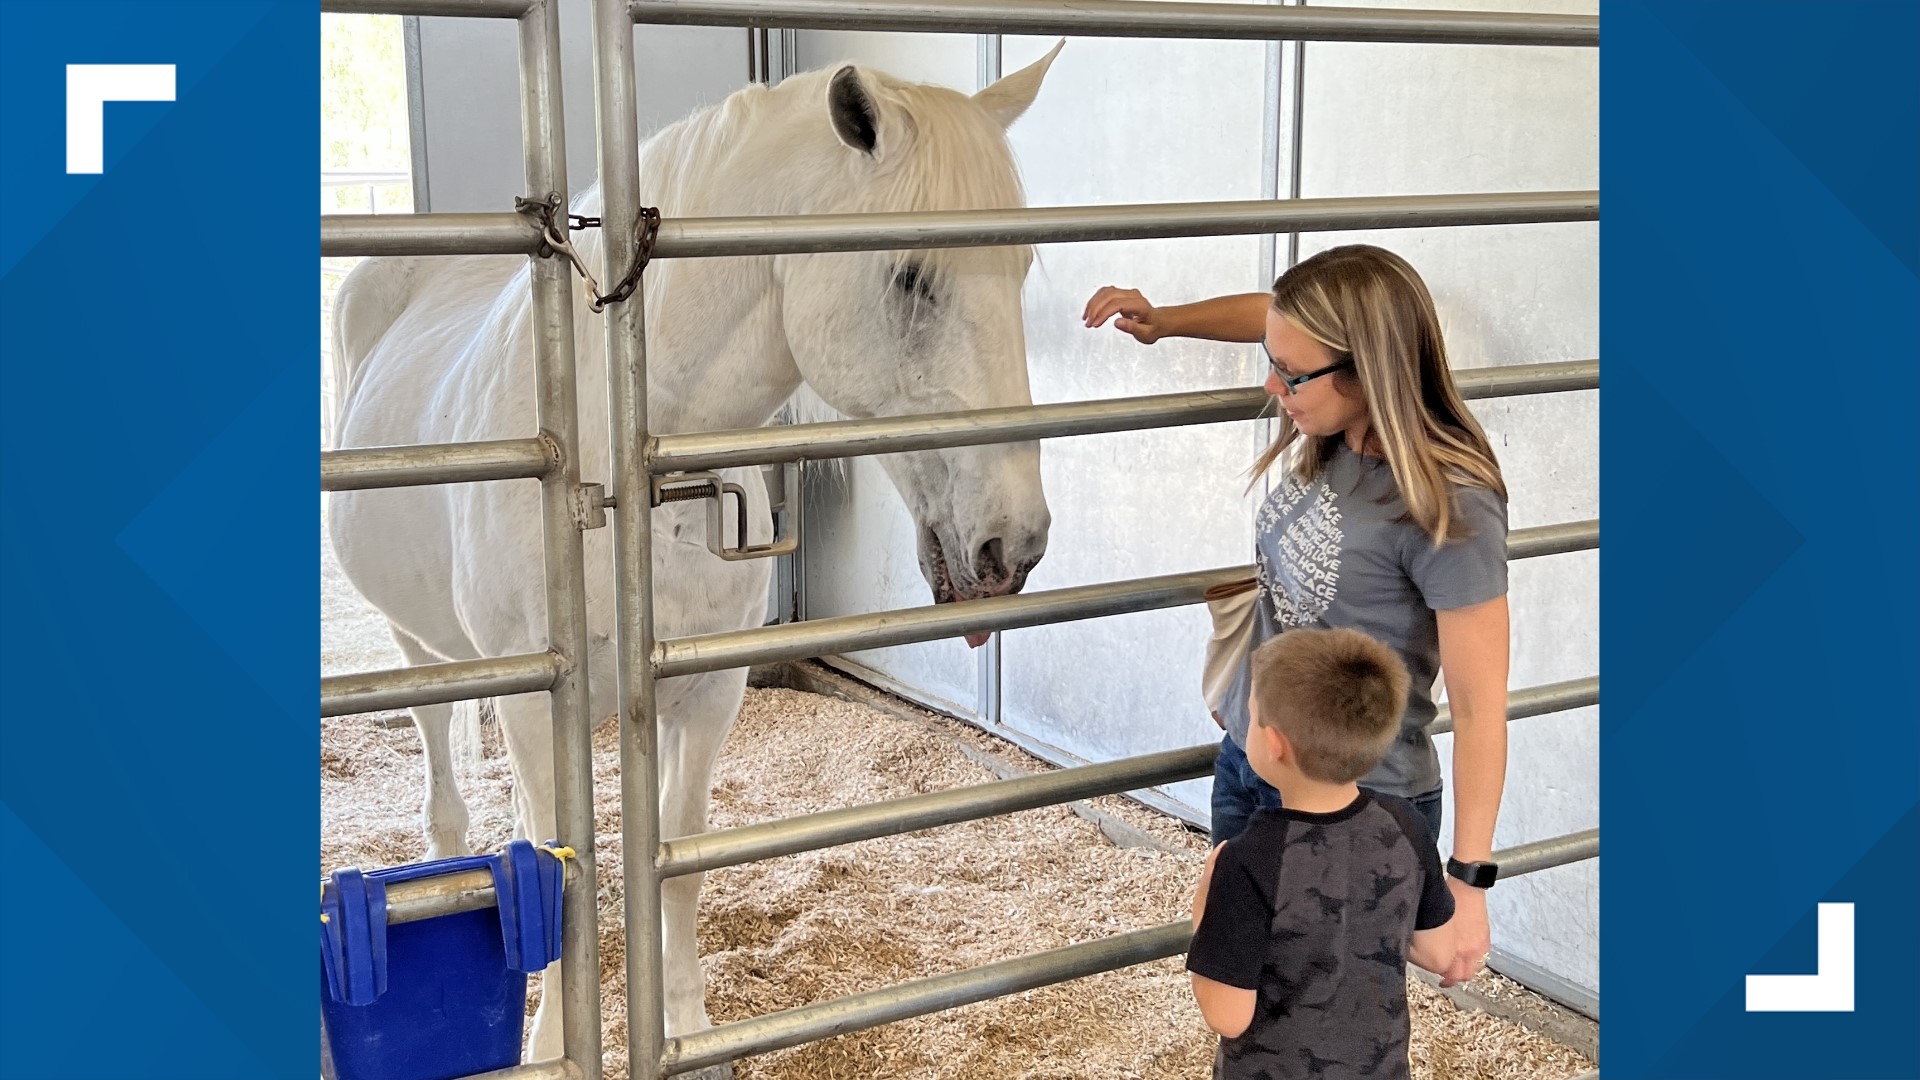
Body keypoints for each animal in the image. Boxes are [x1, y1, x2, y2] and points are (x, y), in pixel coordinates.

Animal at [327, 45, 1063, 1070]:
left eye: (1022, 267)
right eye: (911, 277)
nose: (1013, 544)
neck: (622, 477)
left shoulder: (706, 696)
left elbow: (676, 862)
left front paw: (685, 1025)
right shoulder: (536, 702)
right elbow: (552, 871)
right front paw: (553, 1046)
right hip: (422, 645)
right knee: (444, 756)